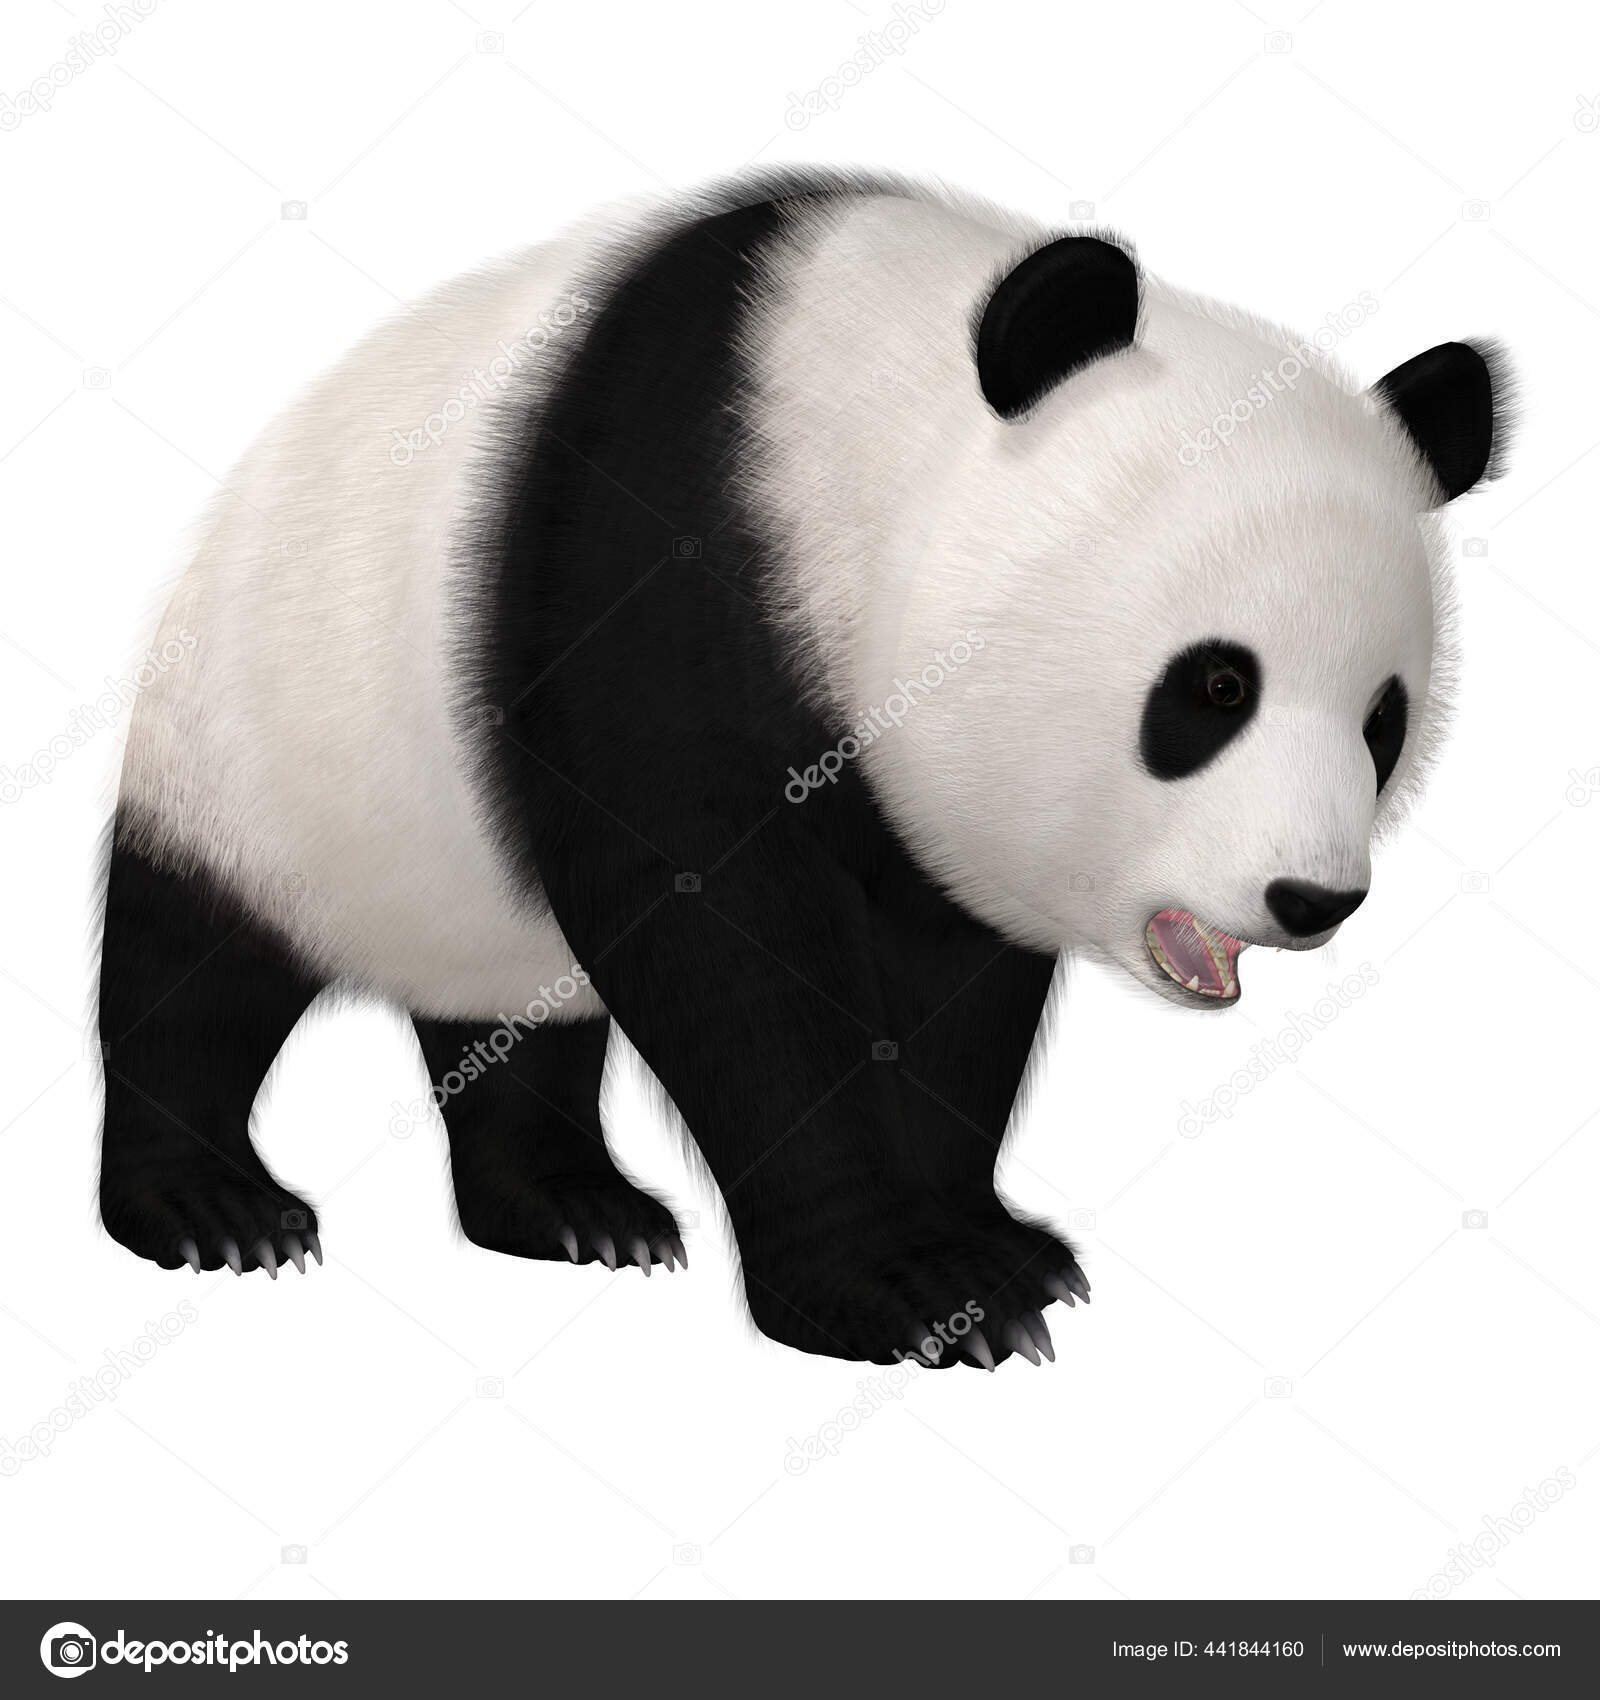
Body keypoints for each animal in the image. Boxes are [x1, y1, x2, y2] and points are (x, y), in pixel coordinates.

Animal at [98, 171, 1511, 1370]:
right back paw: (212, 1207)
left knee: (514, 1020)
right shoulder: (651, 578)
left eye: (1382, 722)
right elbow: (723, 949)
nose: (1311, 899)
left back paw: (571, 1207)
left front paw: (988, 1249)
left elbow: (953, 992)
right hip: (253, 746)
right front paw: (898, 1289)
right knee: (190, 968)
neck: (834, 441)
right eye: (1215, 688)